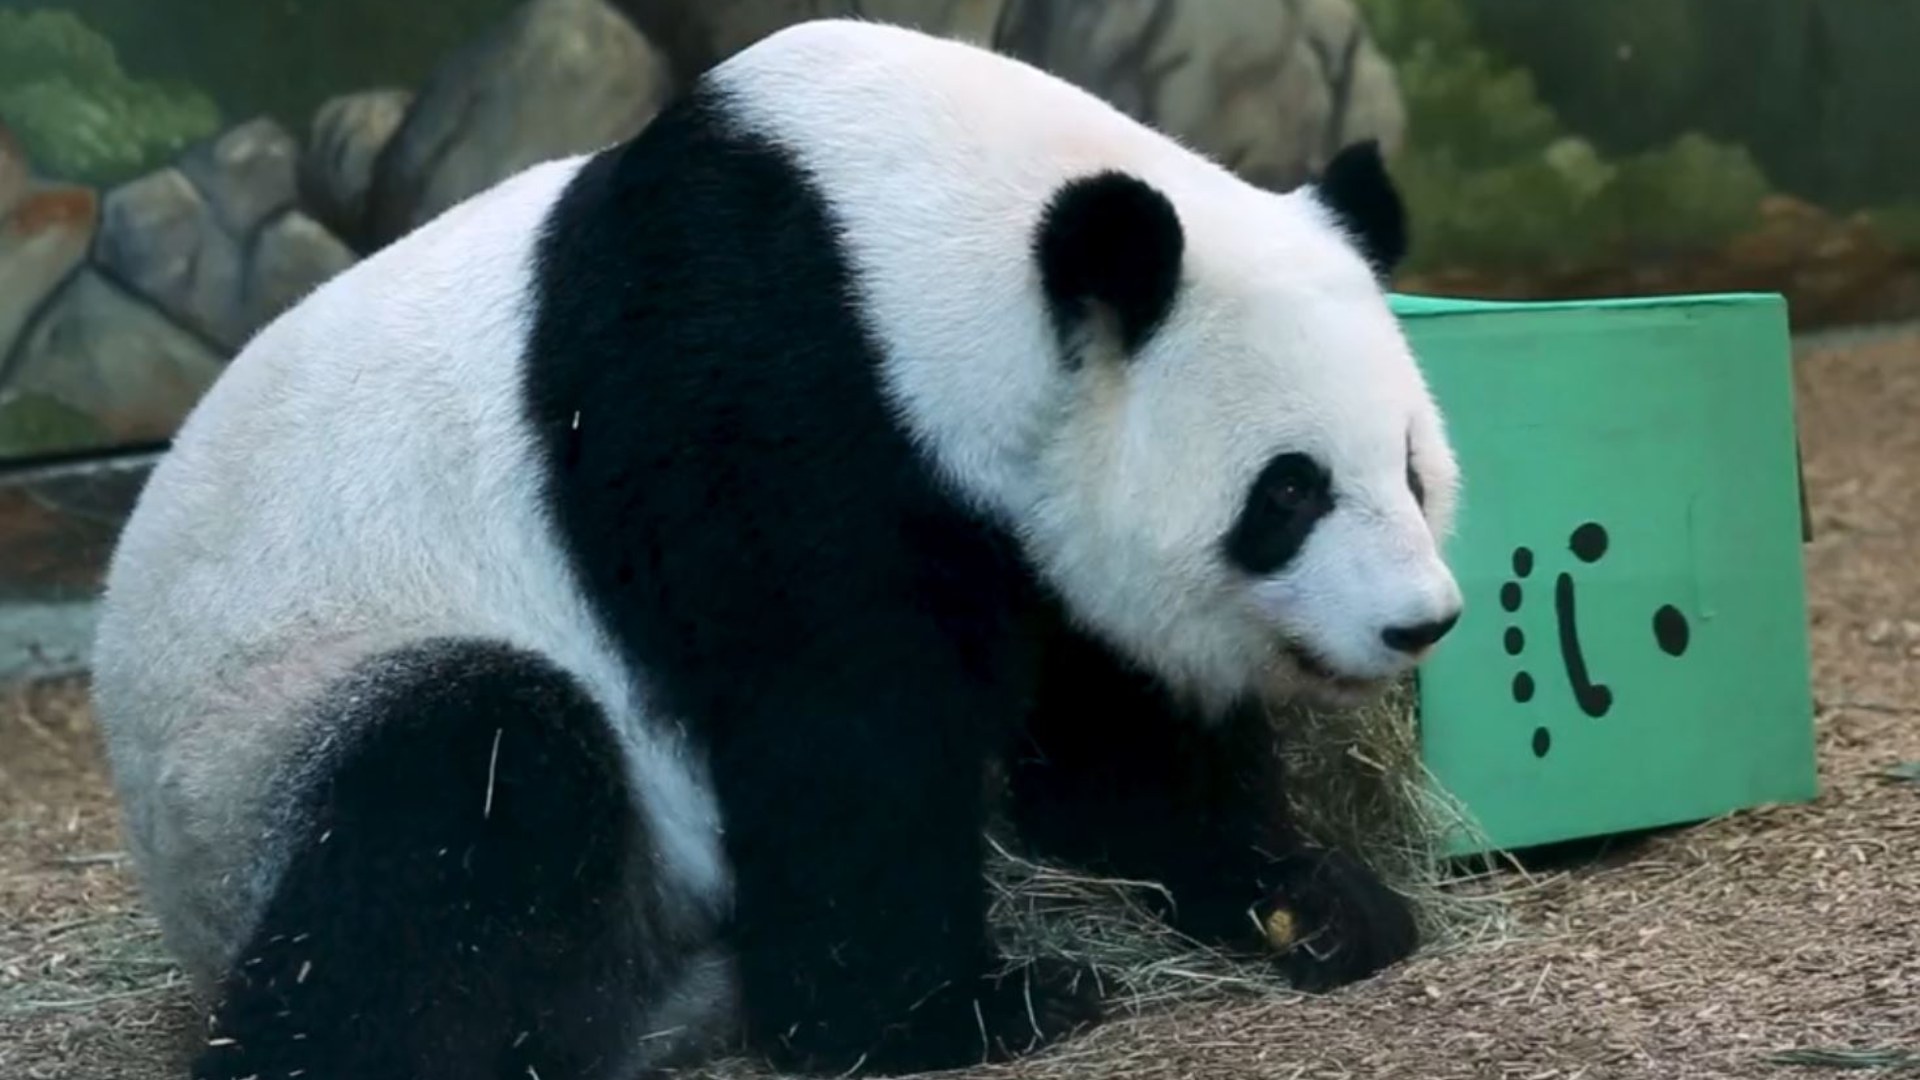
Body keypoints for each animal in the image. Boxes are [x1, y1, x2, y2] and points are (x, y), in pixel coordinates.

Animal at [91, 18, 1463, 1080]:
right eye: (1288, 492)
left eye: (1409, 468)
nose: (1421, 622)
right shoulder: (762, 410)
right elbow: (841, 729)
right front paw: (957, 1012)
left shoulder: (1008, 513)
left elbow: (1105, 734)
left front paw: (1311, 900)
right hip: (260, 739)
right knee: (464, 790)